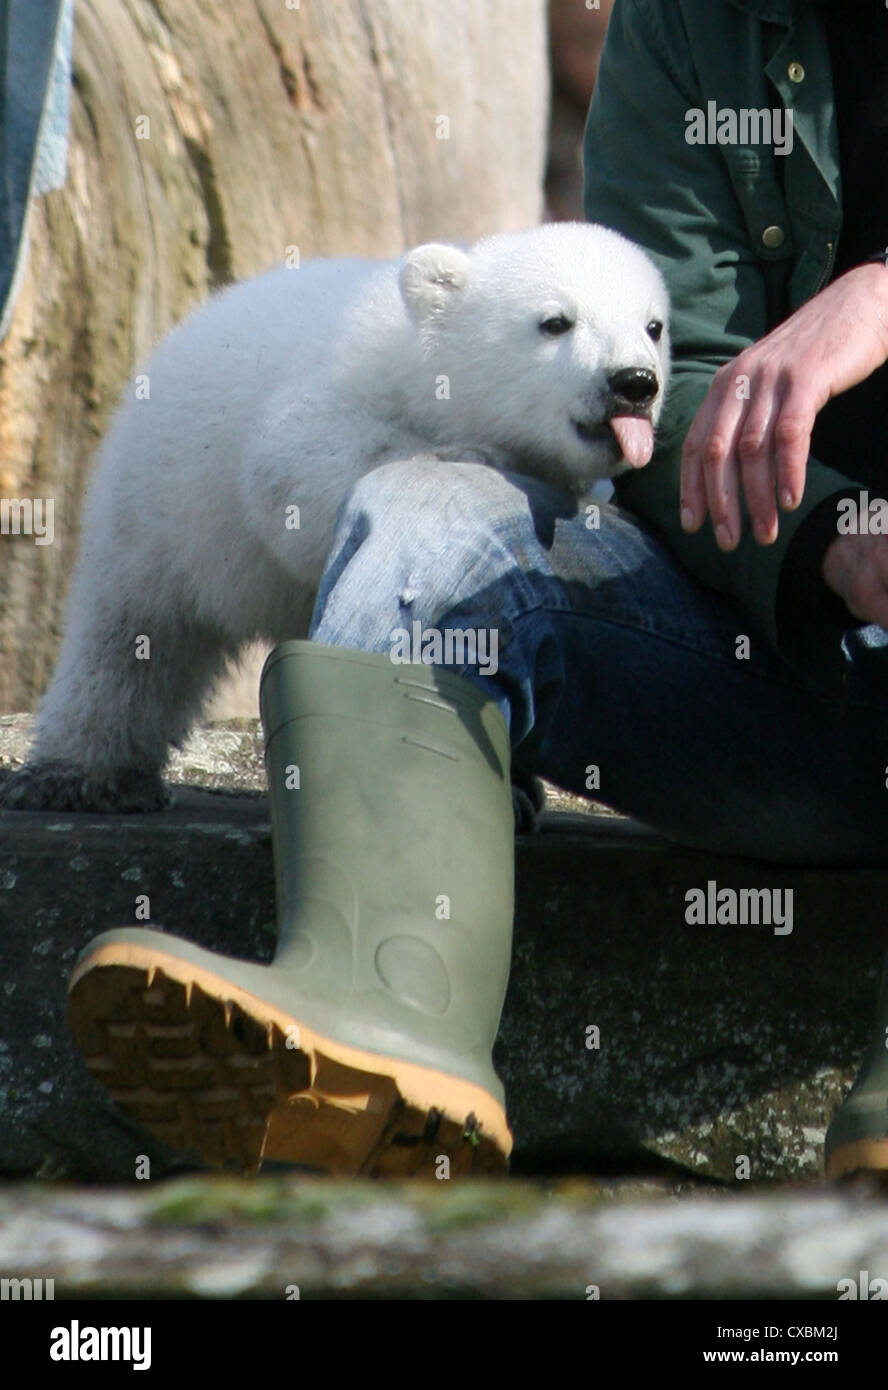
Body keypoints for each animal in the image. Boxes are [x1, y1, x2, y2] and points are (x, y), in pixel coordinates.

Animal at [2, 221, 670, 813]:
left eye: (653, 325)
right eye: (555, 322)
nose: (634, 382)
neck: (419, 363)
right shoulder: (338, 389)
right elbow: (291, 465)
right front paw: (475, 456)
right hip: (161, 498)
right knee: (134, 637)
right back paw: (83, 775)